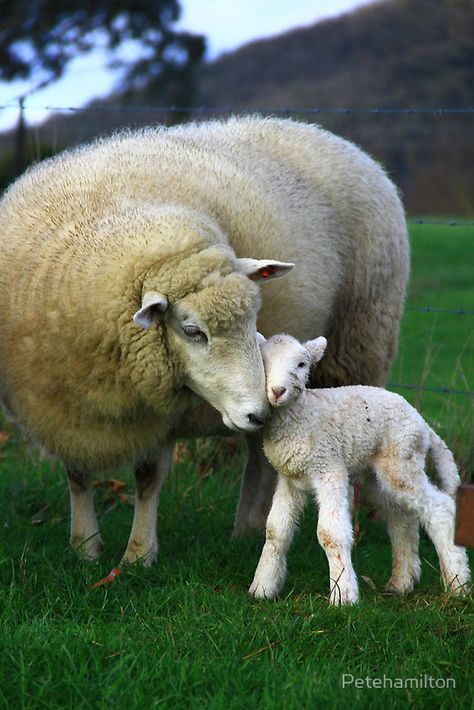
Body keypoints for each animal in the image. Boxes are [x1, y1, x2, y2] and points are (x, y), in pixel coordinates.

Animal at [0, 117, 408, 568]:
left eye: (254, 321)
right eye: (192, 330)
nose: (257, 412)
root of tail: (338, 141)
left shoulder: (161, 413)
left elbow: (147, 478)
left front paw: (137, 556)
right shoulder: (63, 407)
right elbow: (76, 474)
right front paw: (85, 547)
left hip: (357, 348)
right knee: (259, 458)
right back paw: (246, 529)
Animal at [250, 334, 468, 608]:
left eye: (301, 364)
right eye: (263, 362)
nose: (278, 391)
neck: (303, 415)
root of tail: (423, 423)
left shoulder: (329, 468)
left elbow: (330, 533)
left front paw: (343, 595)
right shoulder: (290, 479)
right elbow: (275, 531)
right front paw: (262, 587)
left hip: (401, 461)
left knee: (440, 509)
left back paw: (457, 582)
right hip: (376, 476)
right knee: (401, 518)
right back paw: (401, 582)